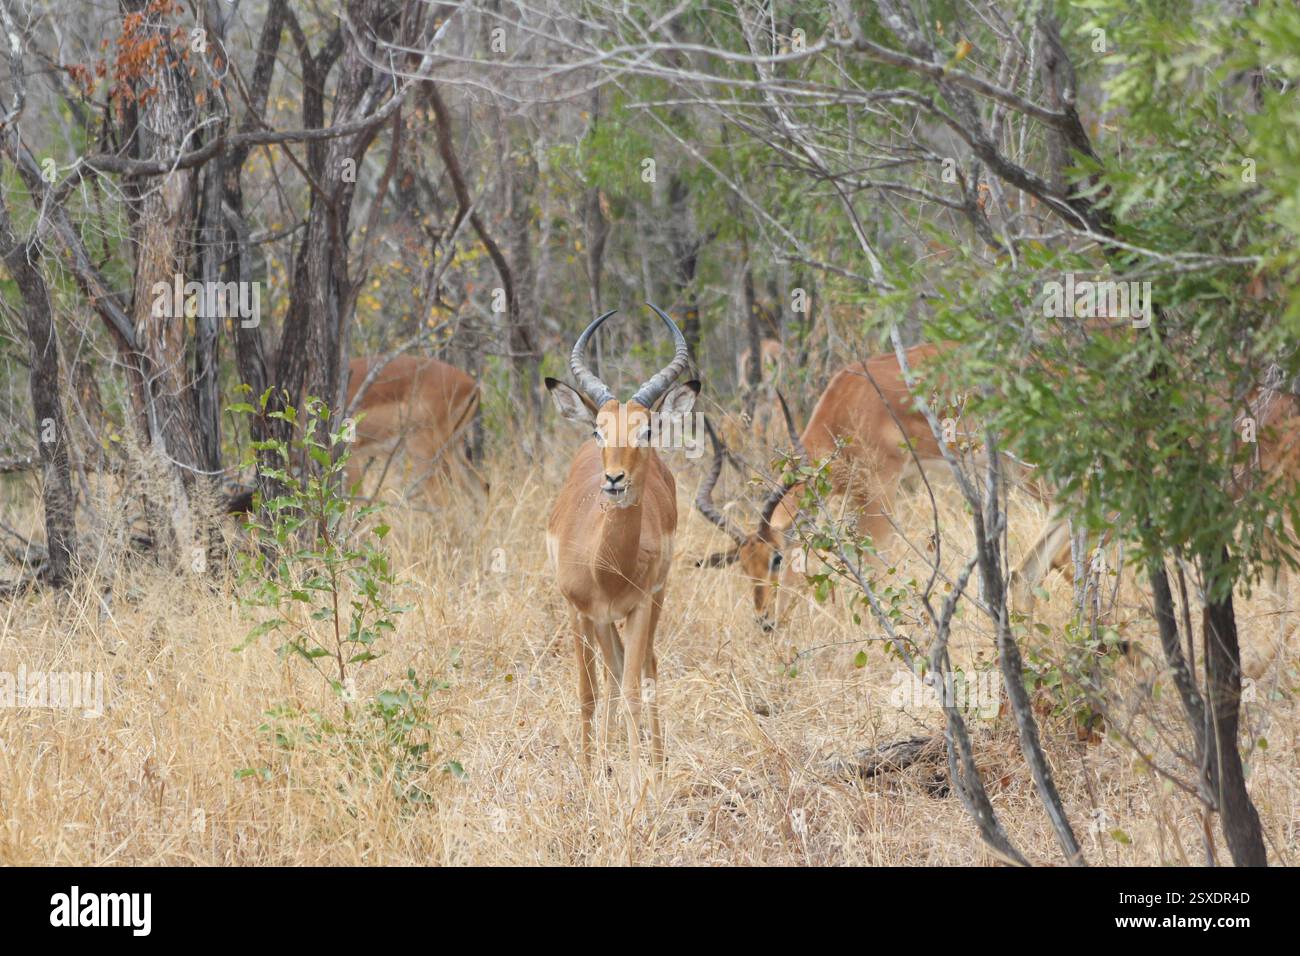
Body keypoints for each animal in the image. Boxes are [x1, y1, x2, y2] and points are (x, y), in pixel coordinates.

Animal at [544, 304, 699, 784]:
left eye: (646, 429)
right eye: (599, 429)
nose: (614, 479)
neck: (606, 567)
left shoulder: (639, 607)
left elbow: (633, 687)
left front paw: (637, 779)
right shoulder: (577, 611)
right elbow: (587, 691)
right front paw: (589, 774)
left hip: (656, 599)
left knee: (645, 668)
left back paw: (656, 759)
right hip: (599, 621)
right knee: (610, 672)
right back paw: (607, 754)